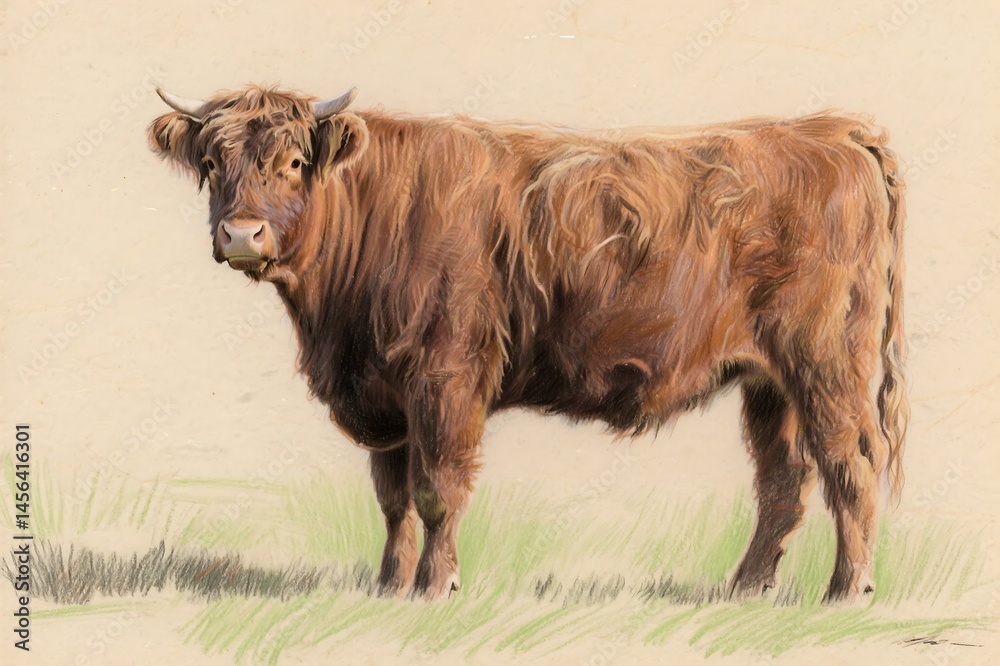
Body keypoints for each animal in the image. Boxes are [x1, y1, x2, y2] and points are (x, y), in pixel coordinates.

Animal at [148, 85, 908, 603]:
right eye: (211, 163)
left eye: (294, 161)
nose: (241, 235)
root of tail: (833, 130)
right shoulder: (385, 394)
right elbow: (393, 499)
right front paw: (388, 588)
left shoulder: (446, 375)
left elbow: (437, 489)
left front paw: (435, 588)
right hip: (767, 380)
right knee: (784, 478)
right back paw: (744, 590)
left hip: (826, 360)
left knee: (851, 463)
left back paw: (845, 594)